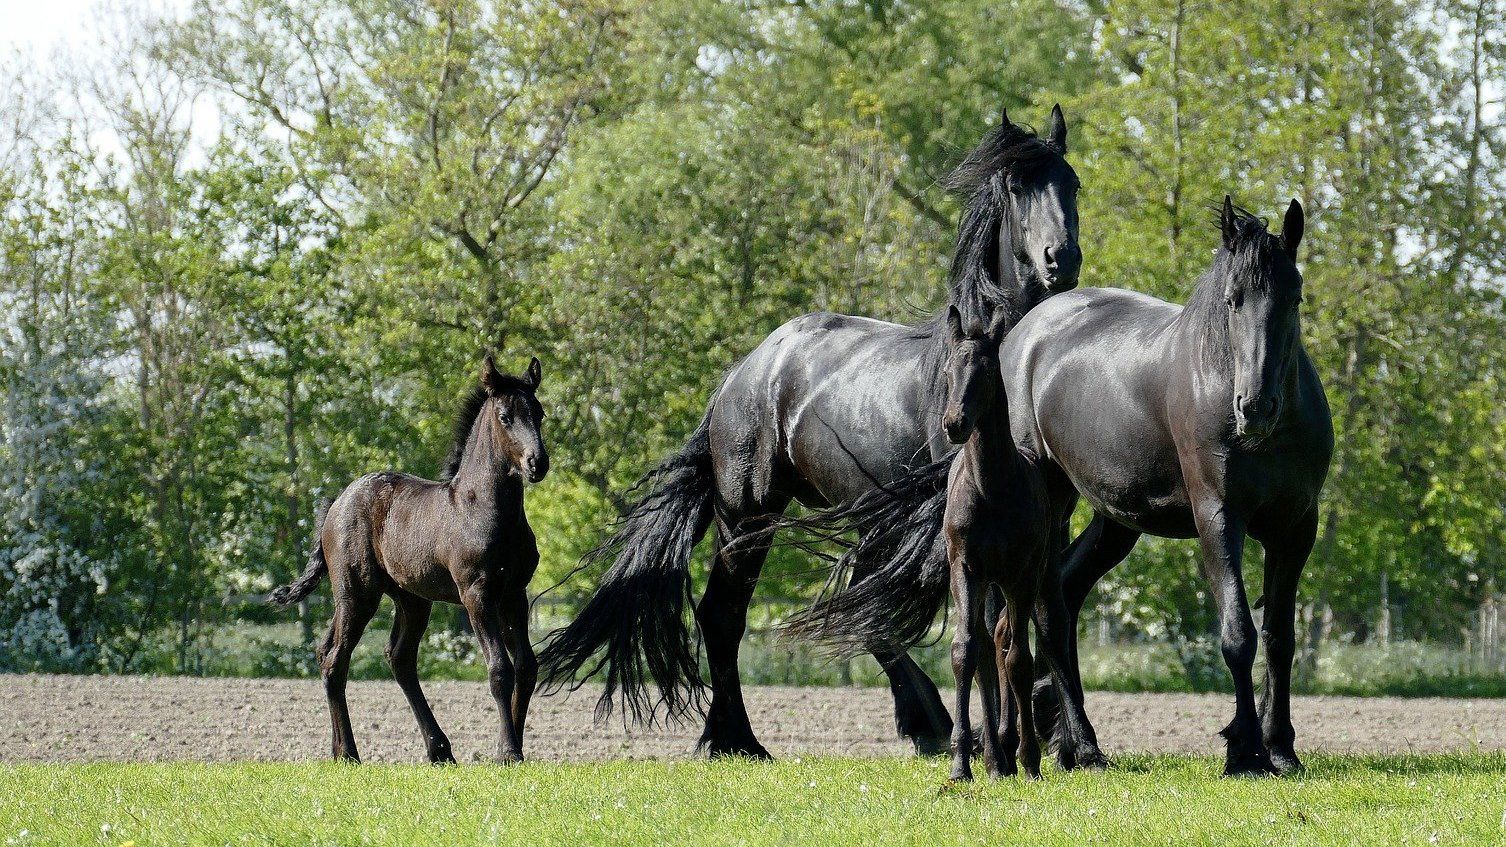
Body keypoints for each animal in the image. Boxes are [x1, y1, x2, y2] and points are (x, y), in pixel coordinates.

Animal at [269, 354, 550, 764]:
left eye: (539, 413)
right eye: (504, 416)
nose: (537, 463)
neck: (483, 508)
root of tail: (335, 504)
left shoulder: (514, 593)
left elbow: (527, 668)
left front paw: (509, 747)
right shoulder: (477, 594)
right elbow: (500, 669)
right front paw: (509, 751)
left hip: (410, 599)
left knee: (394, 658)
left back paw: (436, 750)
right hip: (357, 594)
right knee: (335, 659)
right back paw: (348, 753)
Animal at [537, 104, 1082, 758]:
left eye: (1073, 183)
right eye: (1016, 187)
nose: (1061, 259)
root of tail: (739, 377)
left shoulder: (1042, 524)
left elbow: (1047, 620)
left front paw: (1069, 740)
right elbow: (988, 622)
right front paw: (1009, 739)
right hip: (748, 515)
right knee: (726, 616)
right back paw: (742, 740)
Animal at [781, 198, 1332, 777]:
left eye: (1293, 297)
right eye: (1233, 299)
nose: (1256, 407)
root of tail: (1025, 332)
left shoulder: (1297, 528)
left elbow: (1281, 637)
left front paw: (1281, 747)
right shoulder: (1218, 519)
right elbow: (1238, 634)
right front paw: (1244, 750)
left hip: (1111, 524)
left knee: (1053, 606)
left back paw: (1053, 743)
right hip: (1053, 514)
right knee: (1038, 618)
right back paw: (1059, 745)